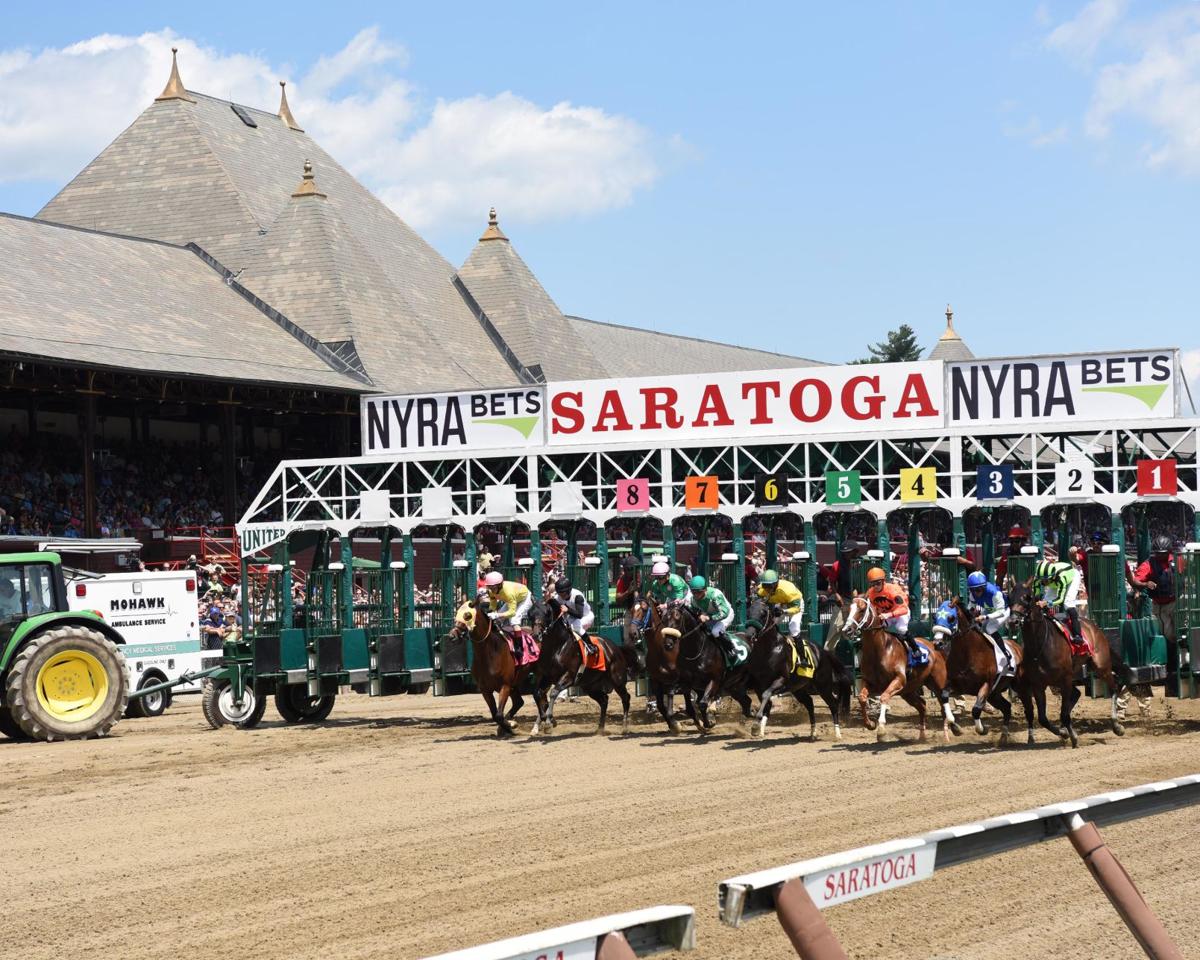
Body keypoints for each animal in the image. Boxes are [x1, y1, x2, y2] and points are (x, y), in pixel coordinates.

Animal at [530, 600, 643, 734]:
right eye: (531, 614)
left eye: (547, 613)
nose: (536, 635)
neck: (557, 646)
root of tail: (616, 648)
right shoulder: (547, 677)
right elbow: (536, 693)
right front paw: (547, 719)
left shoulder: (568, 676)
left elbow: (553, 693)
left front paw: (548, 722)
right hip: (590, 686)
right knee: (604, 700)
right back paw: (600, 728)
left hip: (617, 680)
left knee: (626, 698)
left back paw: (624, 726)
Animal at [844, 595, 964, 744]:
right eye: (848, 609)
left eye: (861, 610)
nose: (847, 630)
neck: (880, 649)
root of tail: (934, 647)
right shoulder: (870, 682)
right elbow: (862, 698)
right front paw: (870, 724)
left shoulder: (899, 680)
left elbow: (884, 697)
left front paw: (881, 730)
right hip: (908, 691)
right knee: (922, 705)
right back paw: (922, 736)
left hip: (937, 683)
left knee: (942, 704)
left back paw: (955, 728)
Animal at [936, 600, 1022, 744]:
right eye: (934, 616)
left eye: (951, 618)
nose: (938, 643)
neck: (968, 653)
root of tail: (1017, 645)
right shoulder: (957, 685)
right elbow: (944, 697)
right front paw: (955, 727)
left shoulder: (986, 685)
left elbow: (976, 709)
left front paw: (983, 729)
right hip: (994, 694)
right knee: (1007, 707)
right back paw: (1004, 736)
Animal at [1008, 578, 1128, 748]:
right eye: (1009, 597)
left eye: (1027, 597)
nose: (1013, 621)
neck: (1040, 645)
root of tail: (1094, 626)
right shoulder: (1038, 684)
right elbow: (1043, 718)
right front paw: (1064, 732)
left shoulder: (1065, 680)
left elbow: (1064, 714)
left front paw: (1073, 736)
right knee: (1077, 694)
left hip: (1100, 666)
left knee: (1114, 688)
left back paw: (1117, 726)